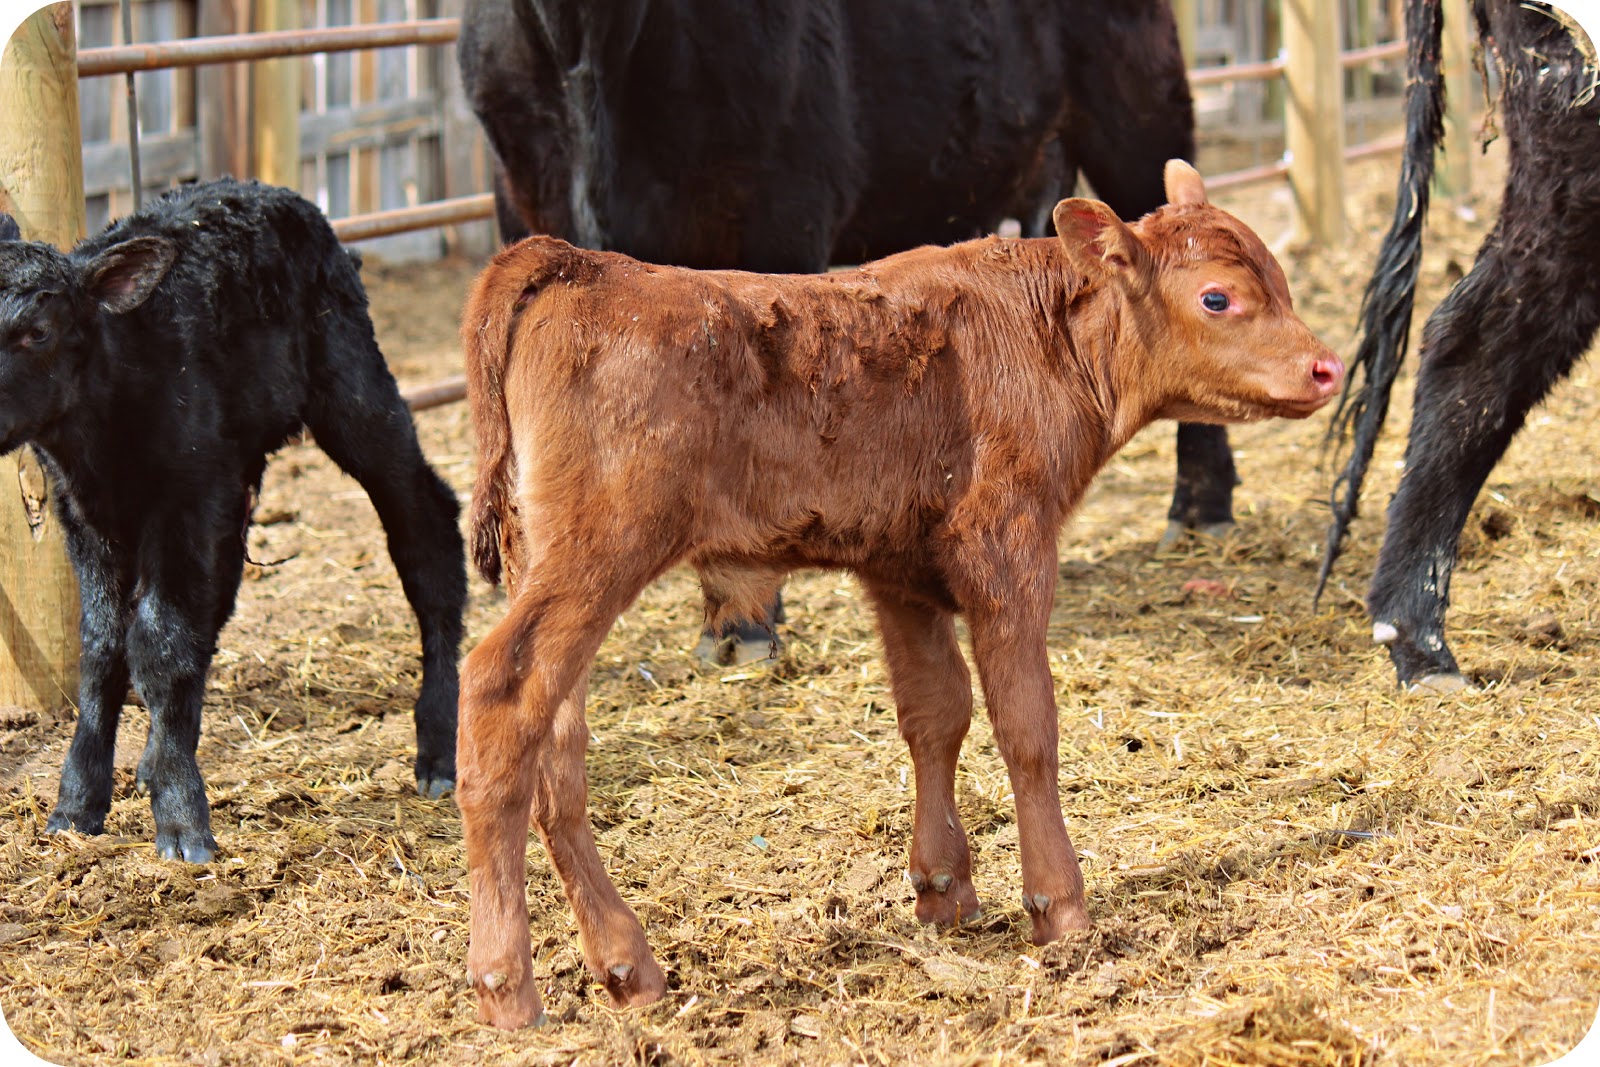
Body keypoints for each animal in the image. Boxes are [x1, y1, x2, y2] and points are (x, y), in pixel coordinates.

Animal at [0, 179, 467, 862]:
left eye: (37, 332)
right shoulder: (84, 514)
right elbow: (103, 645)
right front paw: (78, 802)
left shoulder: (187, 496)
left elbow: (160, 642)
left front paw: (180, 820)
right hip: (238, 468)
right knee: (216, 599)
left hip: (355, 392)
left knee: (428, 527)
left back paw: (438, 749)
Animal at [454, 161, 1344, 1028]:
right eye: (1218, 297)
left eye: (1276, 278)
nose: (1326, 366)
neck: (1040, 334)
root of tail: (577, 263)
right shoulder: (1007, 550)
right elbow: (1026, 724)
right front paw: (1059, 905)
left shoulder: (897, 570)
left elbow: (935, 713)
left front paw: (943, 885)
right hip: (597, 555)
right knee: (501, 694)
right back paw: (506, 982)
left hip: (556, 570)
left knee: (556, 748)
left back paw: (626, 963)